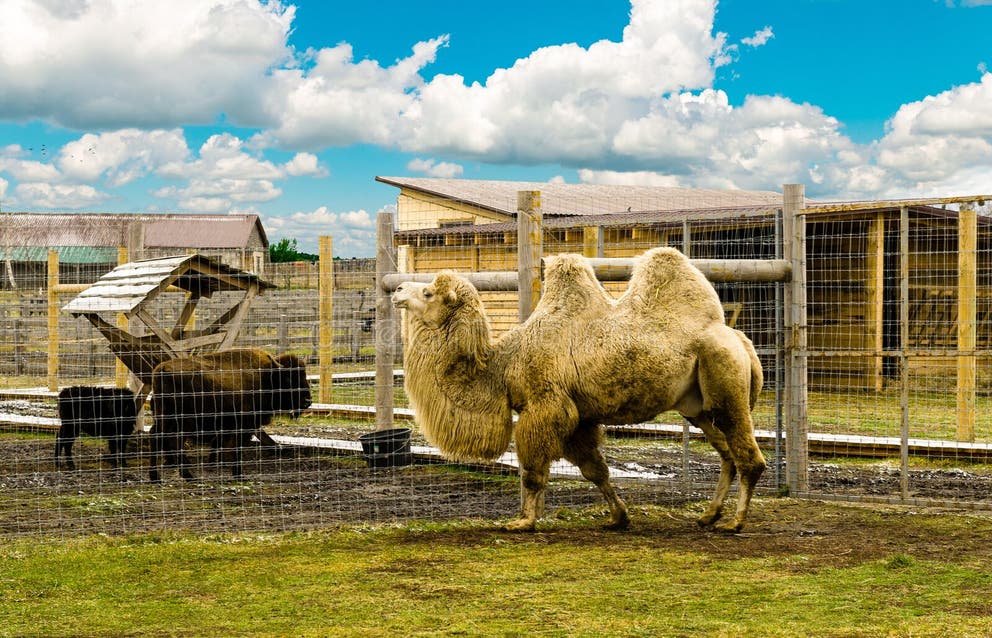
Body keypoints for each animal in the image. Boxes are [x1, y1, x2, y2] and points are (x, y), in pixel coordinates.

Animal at [392, 247, 766, 533]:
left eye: (428, 293)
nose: (397, 291)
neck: (502, 367)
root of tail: (741, 341)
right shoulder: (579, 417)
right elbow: (595, 470)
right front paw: (619, 517)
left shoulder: (546, 406)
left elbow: (533, 469)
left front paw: (523, 521)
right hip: (698, 407)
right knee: (727, 453)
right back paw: (708, 515)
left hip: (725, 378)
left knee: (749, 457)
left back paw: (734, 523)